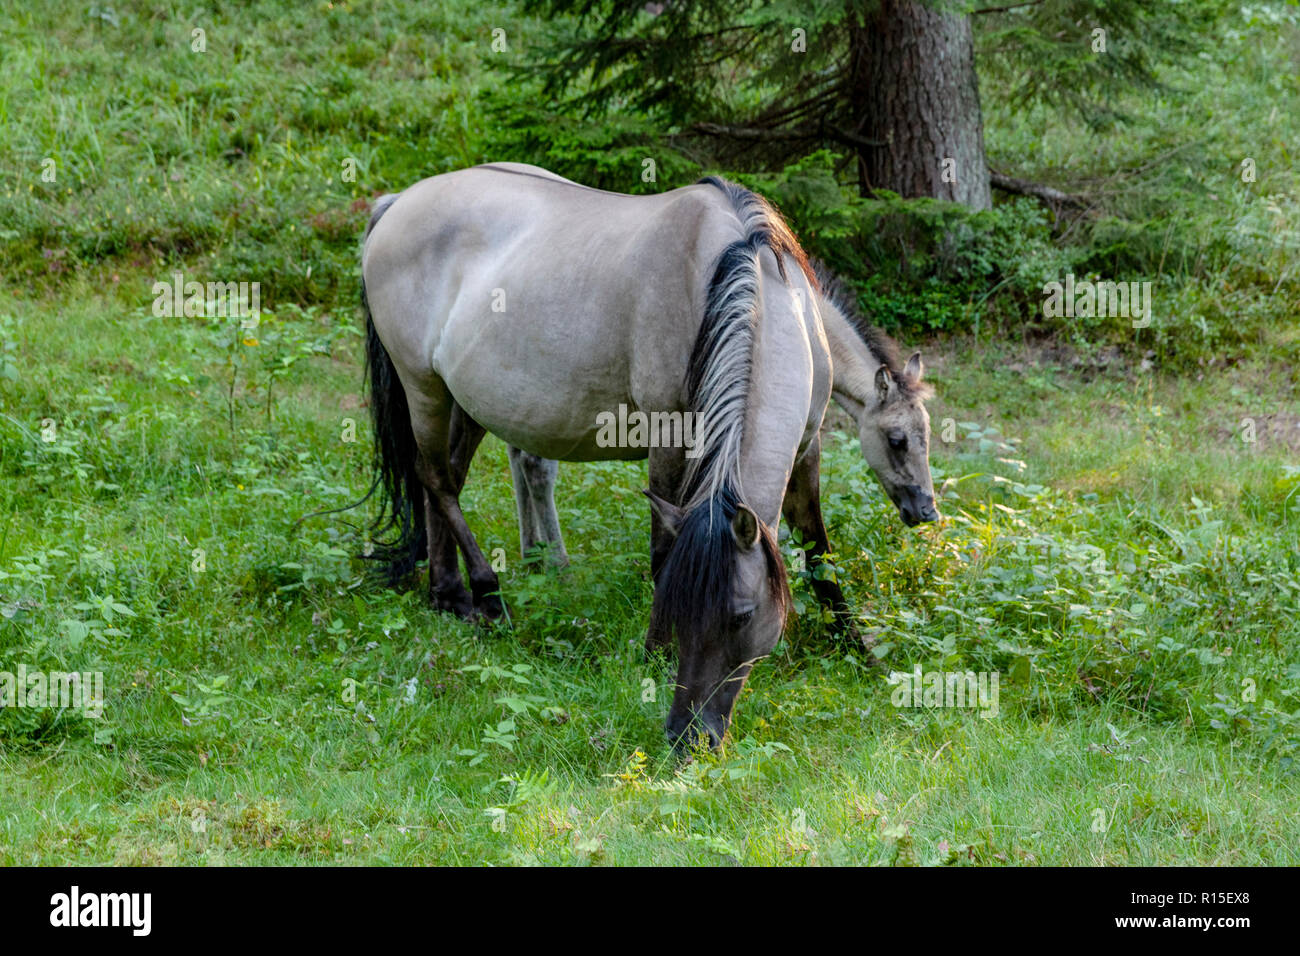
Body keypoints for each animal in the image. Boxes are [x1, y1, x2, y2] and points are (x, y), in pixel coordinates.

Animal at [360, 162, 832, 748]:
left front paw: (851, 639)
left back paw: (446, 593)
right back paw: (484, 594)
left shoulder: (808, 447)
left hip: (461, 401)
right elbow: (662, 553)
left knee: (444, 478)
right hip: (422, 387)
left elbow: (819, 547)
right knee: (437, 480)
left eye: (742, 617)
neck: (743, 277)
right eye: (678, 610)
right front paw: (655, 652)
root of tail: (398, 201)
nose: (686, 735)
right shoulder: (668, 438)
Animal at [505, 264, 940, 628]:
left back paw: (535, 558)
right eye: (896, 440)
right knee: (536, 468)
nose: (927, 511)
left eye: (929, 434)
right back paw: (555, 565)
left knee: (523, 461)